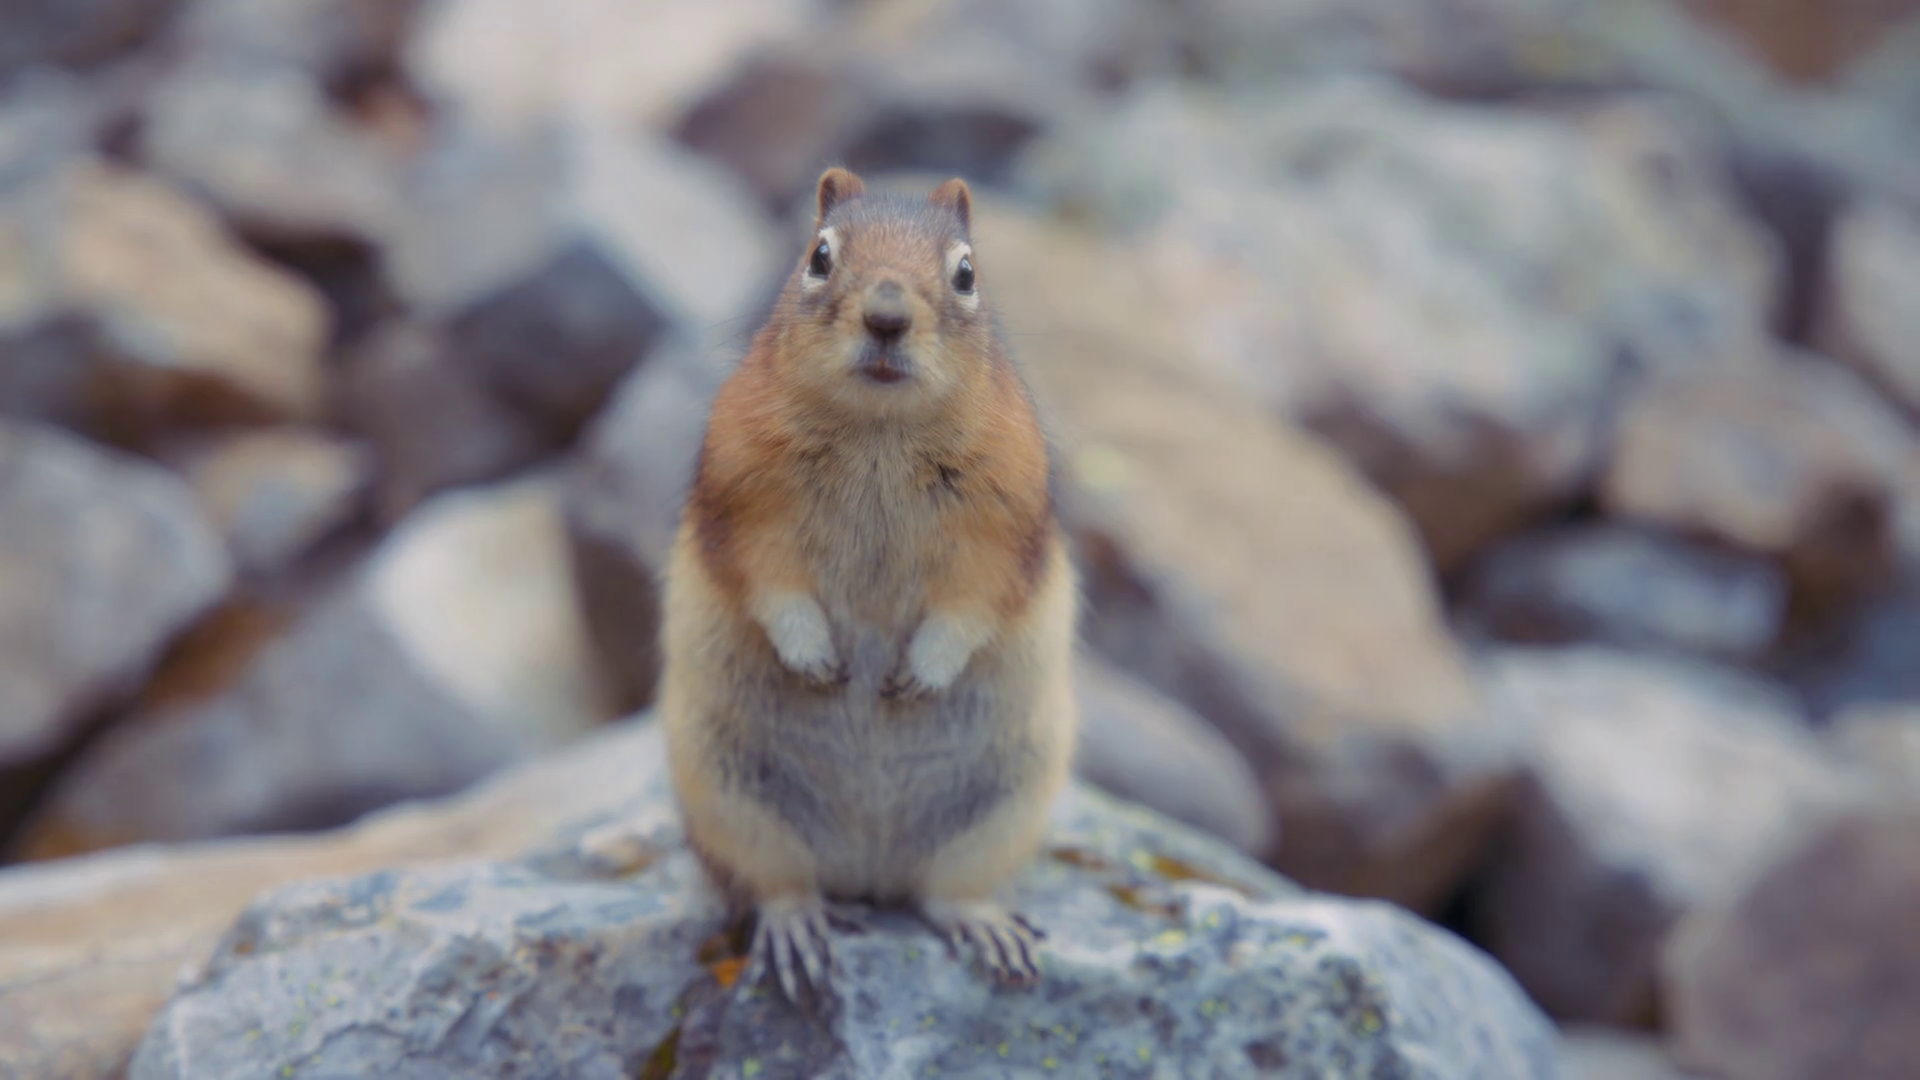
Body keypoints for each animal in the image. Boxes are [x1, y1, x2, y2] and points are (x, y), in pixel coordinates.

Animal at [652, 167, 1078, 999]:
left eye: (967, 273)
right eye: (819, 256)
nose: (886, 317)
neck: (881, 433)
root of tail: (868, 874)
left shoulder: (1004, 522)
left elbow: (975, 601)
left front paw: (921, 674)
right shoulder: (742, 498)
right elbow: (769, 583)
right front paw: (815, 658)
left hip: (1003, 809)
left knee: (941, 893)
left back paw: (987, 929)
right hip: (730, 799)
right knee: (779, 884)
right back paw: (798, 934)